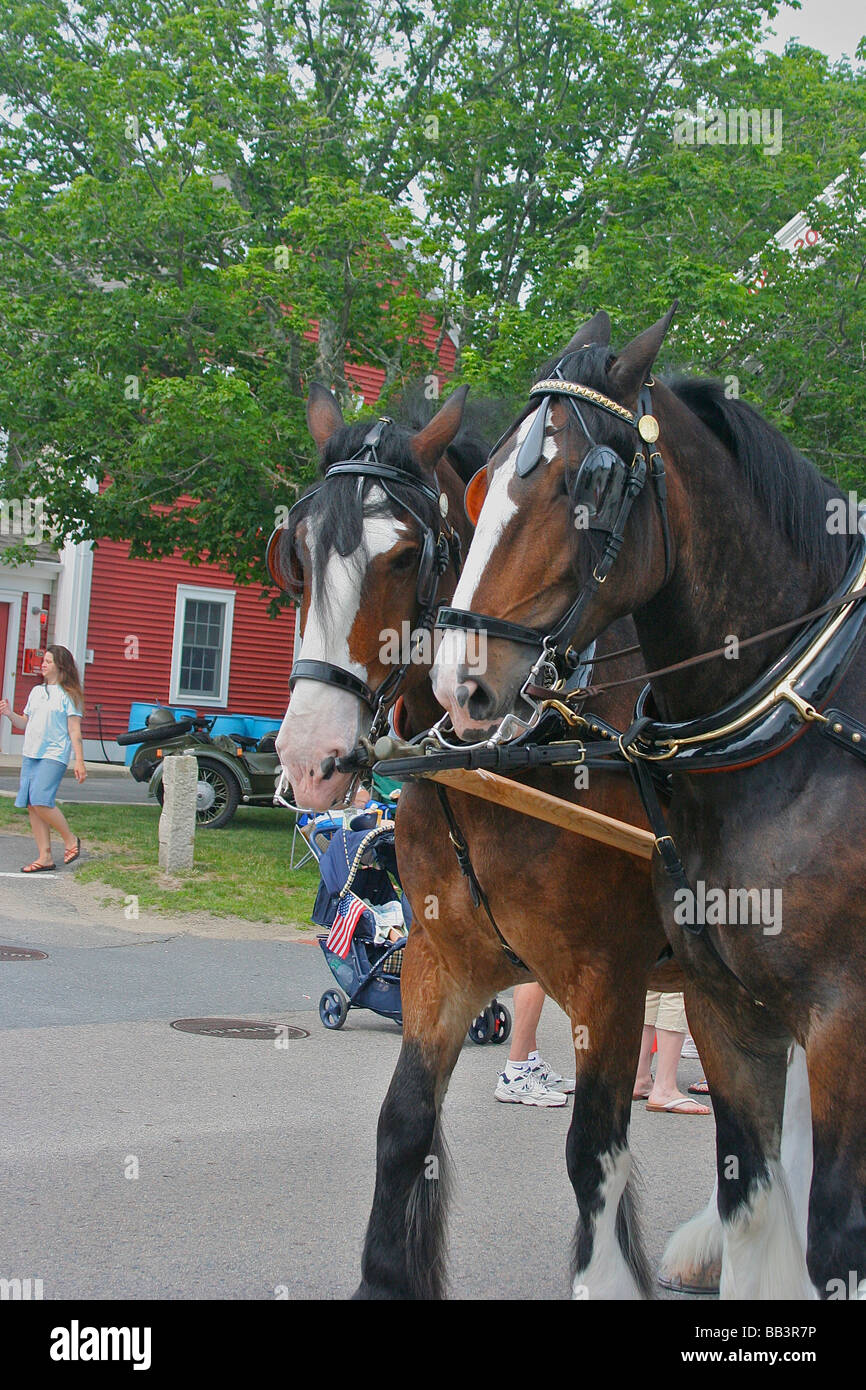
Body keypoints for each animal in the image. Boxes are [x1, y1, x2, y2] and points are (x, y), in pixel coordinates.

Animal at [271, 379, 752, 1299]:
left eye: (403, 558)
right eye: (298, 555)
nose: (311, 759)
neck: (515, 751)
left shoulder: (609, 980)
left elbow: (594, 1151)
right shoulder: (440, 961)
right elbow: (403, 1126)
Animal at [431, 307, 861, 1300]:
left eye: (587, 481)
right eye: (479, 488)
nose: (462, 685)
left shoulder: (840, 1013)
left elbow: (835, 1236)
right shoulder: (724, 1001)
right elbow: (752, 1201)